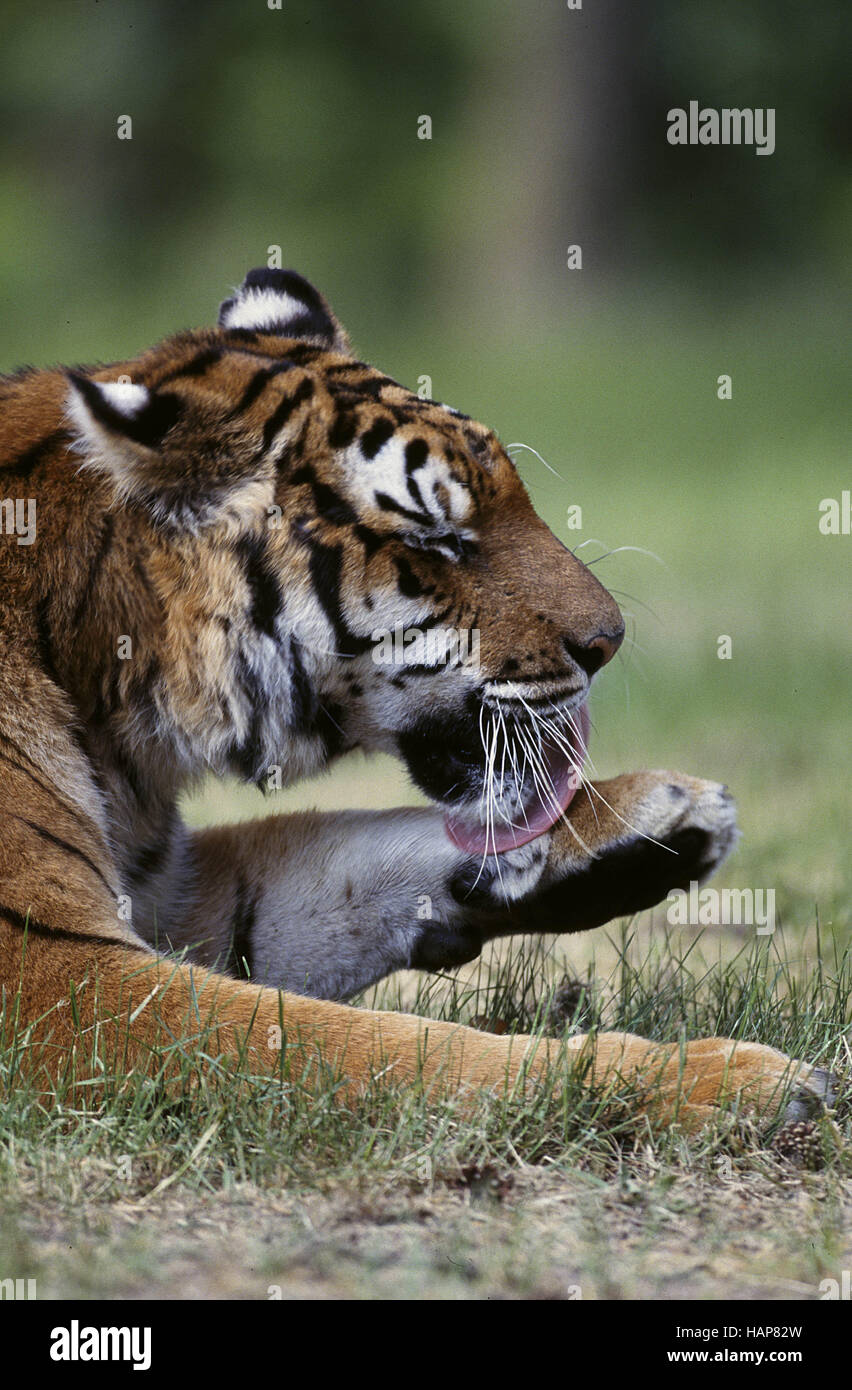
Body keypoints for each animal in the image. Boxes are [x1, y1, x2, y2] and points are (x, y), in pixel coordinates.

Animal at [0, 266, 832, 1130]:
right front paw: (724, 1080)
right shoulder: (55, 975)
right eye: (438, 539)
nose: (608, 641)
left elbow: (346, 847)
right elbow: (382, 1046)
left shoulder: (173, 892)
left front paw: (651, 817)